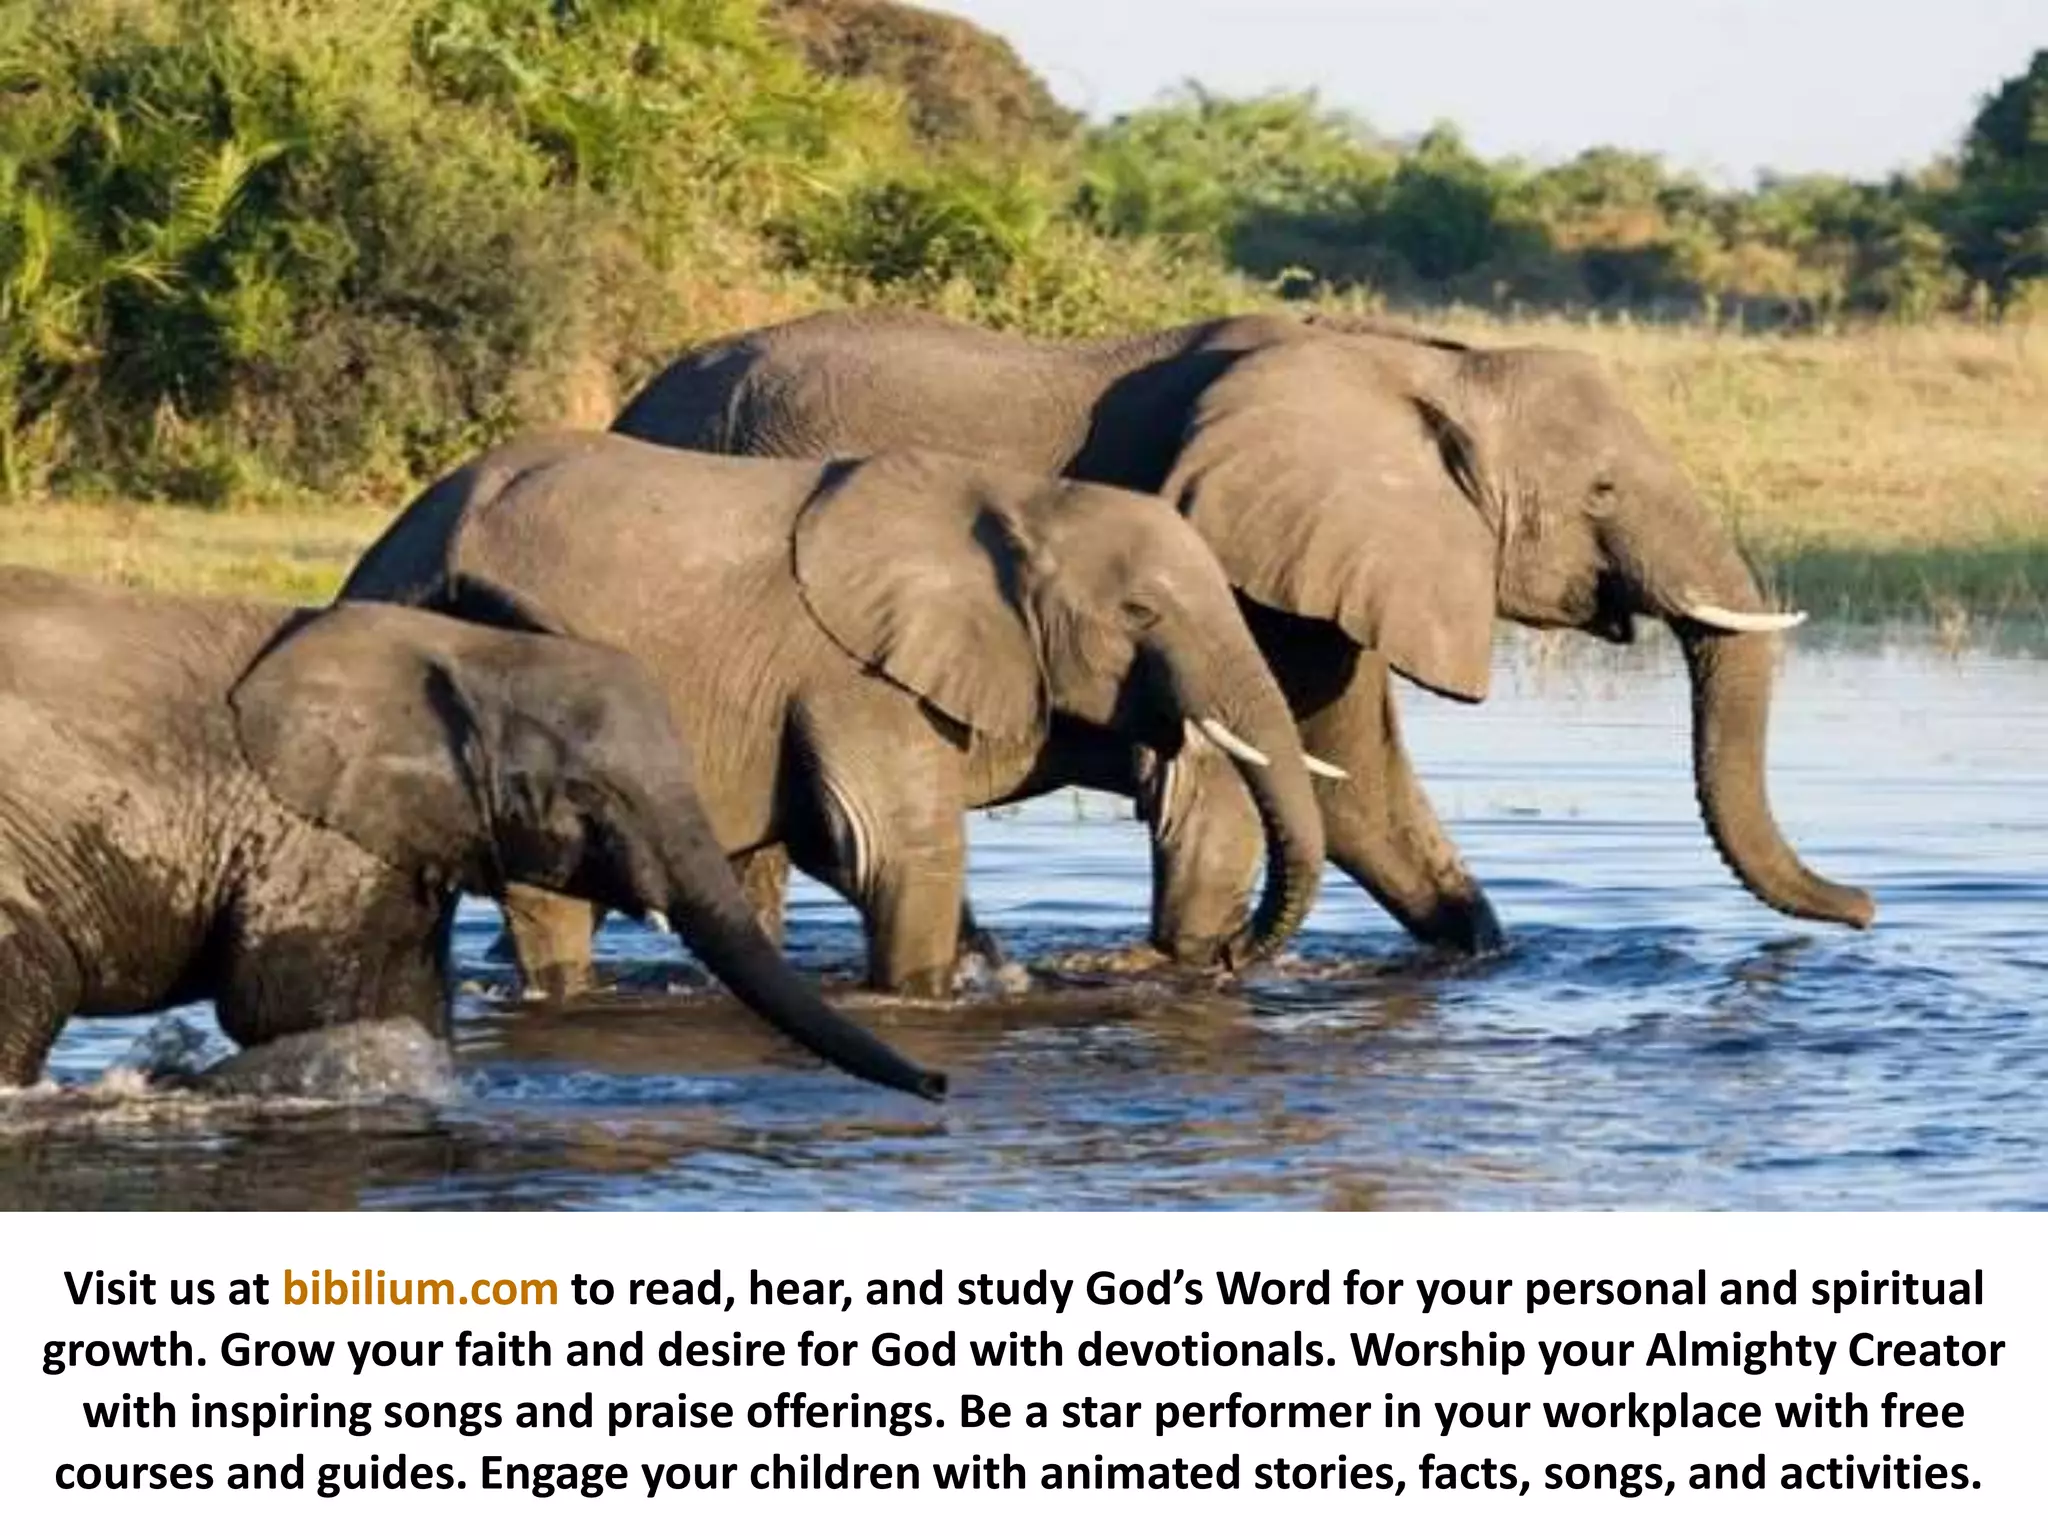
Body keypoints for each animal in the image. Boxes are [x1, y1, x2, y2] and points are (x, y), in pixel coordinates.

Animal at [0, 567, 941, 1099]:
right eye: (586, 795)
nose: (937, 1085)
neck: (459, 654)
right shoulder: (309, 830)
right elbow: (292, 1001)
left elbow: (404, 1001)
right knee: (33, 984)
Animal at [611, 307, 1875, 947]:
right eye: (1602, 493)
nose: (1861, 911)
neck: (1424, 365)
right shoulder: (1224, 568)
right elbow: (1228, 794)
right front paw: (1199, 966)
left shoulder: (1326, 571)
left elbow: (1356, 791)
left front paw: (1475, 951)